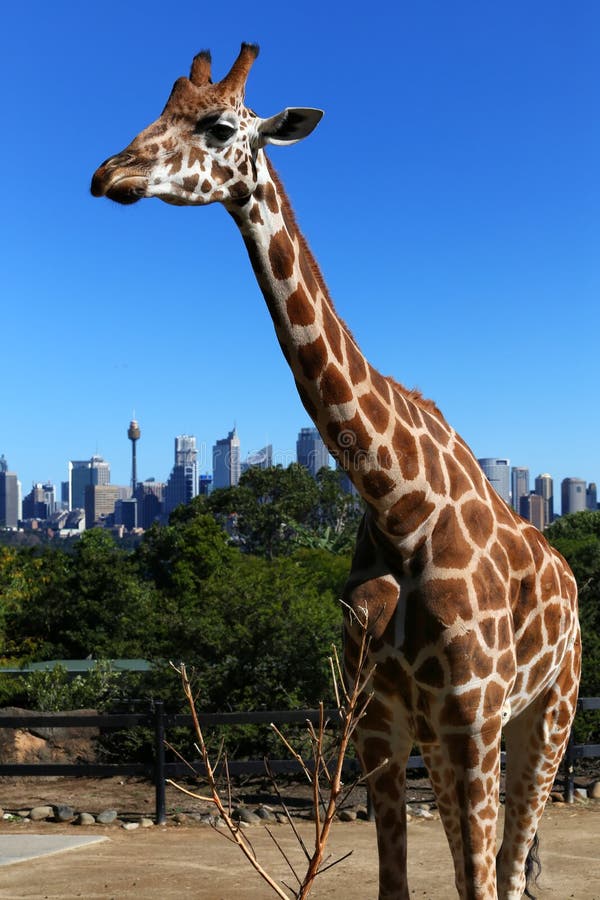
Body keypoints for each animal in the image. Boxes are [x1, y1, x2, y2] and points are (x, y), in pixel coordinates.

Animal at [91, 44, 581, 899]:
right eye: (157, 108)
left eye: (220, 126)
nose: (108, 173)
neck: (397, 502)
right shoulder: (379, 721)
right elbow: (399, 885)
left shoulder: (475, 716)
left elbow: (485, 883)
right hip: (454, 741)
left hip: (548, 712)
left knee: (513, 867)